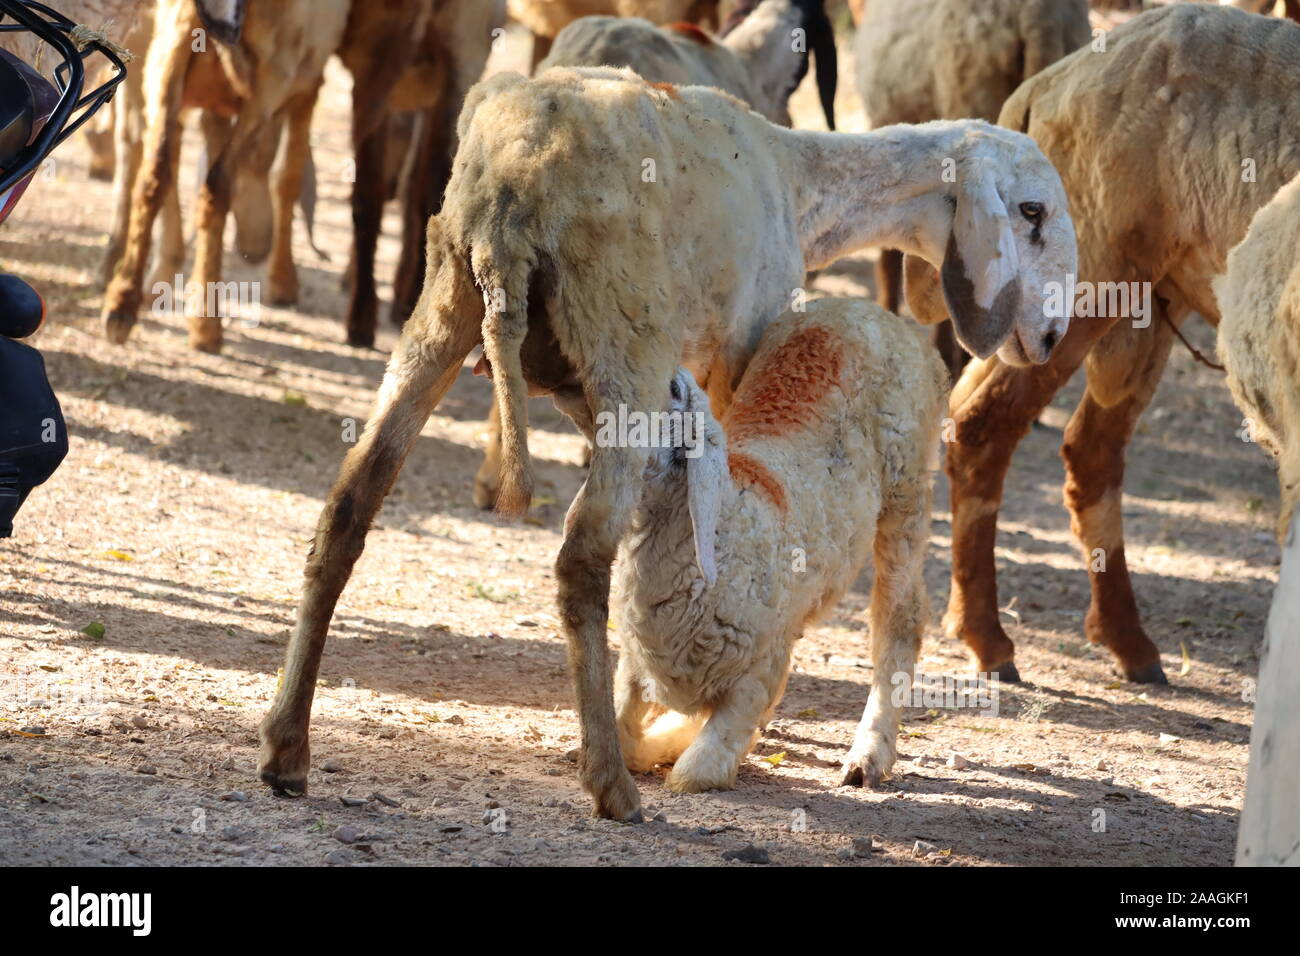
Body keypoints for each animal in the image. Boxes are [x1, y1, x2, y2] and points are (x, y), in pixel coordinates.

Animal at [99, 0, 350, 353]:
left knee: (162, 172)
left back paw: (127, 303)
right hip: (261, 79)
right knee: (216, 181)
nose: (254, 246)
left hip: (178, 62)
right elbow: (282, 178)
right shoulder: (298, 83)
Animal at [614, 298, 946, 792]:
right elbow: (624, 740)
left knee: (900, 617)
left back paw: (868, 756)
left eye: (672, 389)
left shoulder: (762, 667)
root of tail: (868, 309)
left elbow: (695, 771)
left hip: (906, 490)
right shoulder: (636, 664)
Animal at [901, 4, 1300, 685]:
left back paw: (1127, 640)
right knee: (982, 424)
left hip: (1149, 301)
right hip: (1083, 281)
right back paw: (989, 639)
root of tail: (1048, 86)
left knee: (1089, 448)